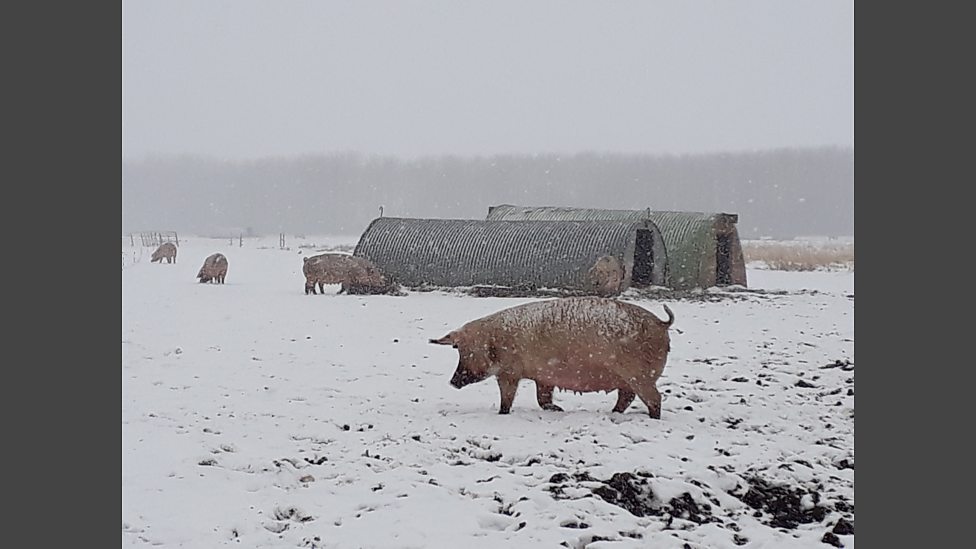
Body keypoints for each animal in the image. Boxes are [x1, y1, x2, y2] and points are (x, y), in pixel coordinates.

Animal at [430, 297, 674, 418]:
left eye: (461, 350)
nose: (452, 382)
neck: (493, 342)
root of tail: (661, 323)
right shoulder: (543, 377)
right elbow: (542, 399)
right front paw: (559, 410)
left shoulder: (508, 372)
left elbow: (507, 397)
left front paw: (501, 414)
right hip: (630, 379)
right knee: (627, 397)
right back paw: (612, 413)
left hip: (639, 375)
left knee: (655, 398)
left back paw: (653, 418)